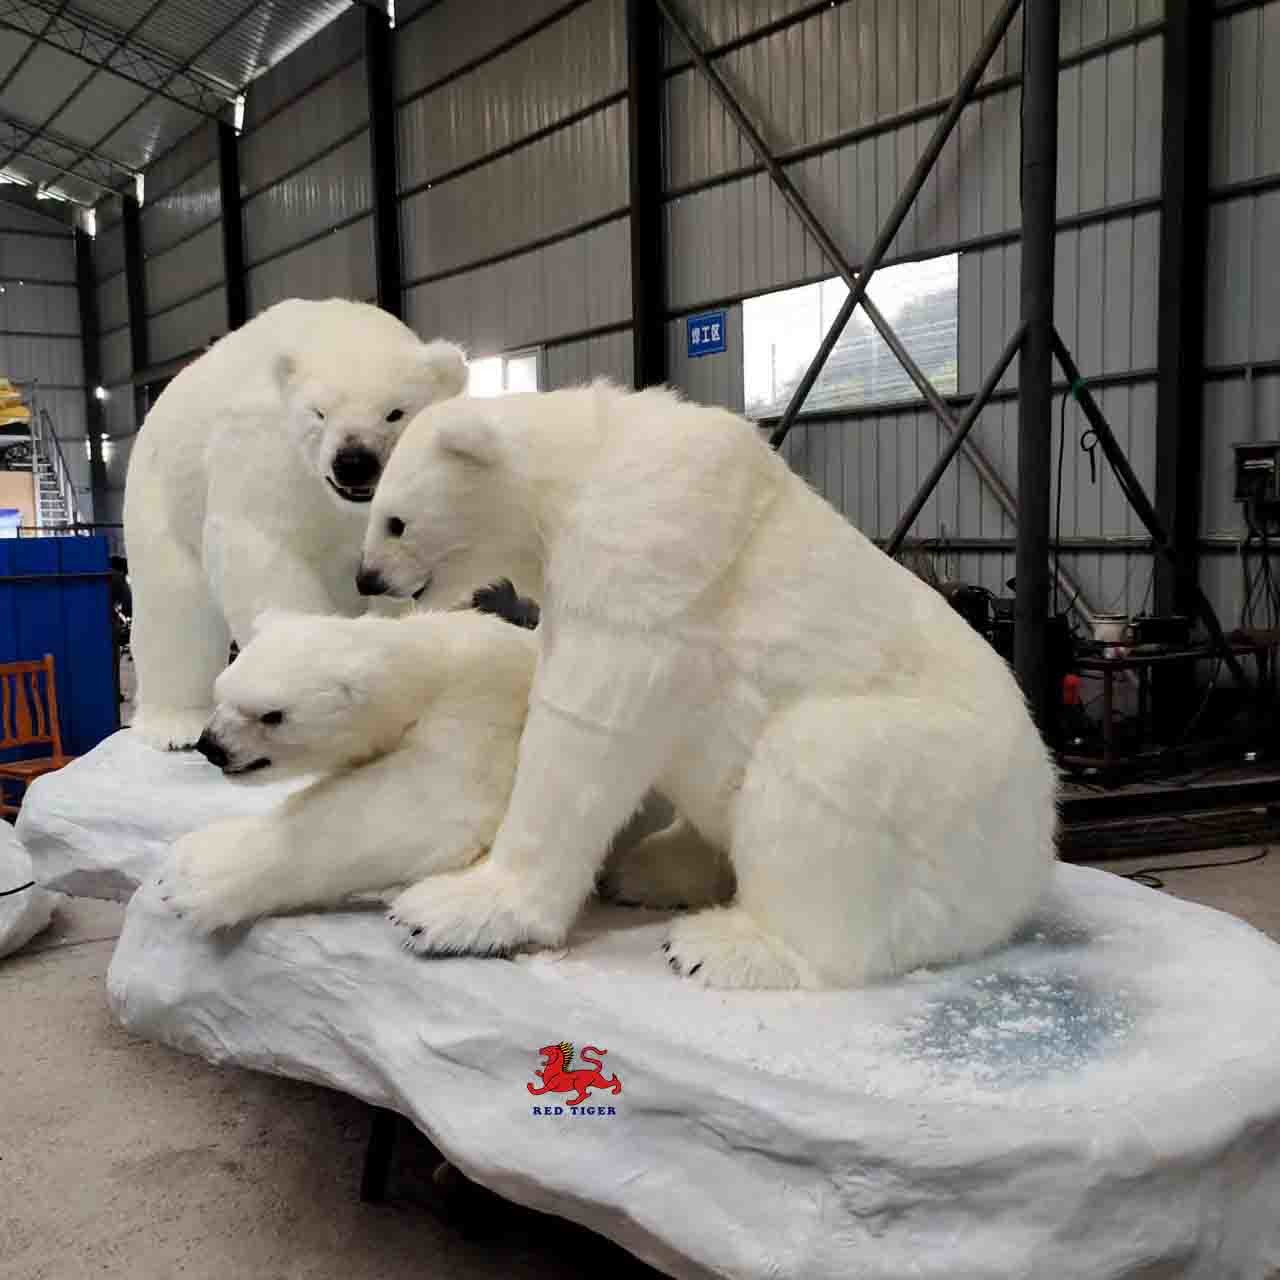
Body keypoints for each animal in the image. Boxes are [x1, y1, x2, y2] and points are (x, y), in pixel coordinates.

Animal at [124, 297, 468, 752]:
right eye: (319, 413)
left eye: (395, 412)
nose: (353, 462)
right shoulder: (267, 456)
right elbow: (264, 554)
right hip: (162, 498)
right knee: (175, 603)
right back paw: (174, 724)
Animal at [157, 606, 537, 934]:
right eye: (221, 693)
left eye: (272, 716)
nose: (211, 746)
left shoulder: (479, 715)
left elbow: (423, 809)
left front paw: (192, 872)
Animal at [354, 381, 1058, 990]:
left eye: (394, 521)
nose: (366, 577)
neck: (585, 464)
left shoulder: (645, 550)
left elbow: (585, 730)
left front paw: (448, 907)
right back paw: (651, 871)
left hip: (954, 788)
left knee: (823, 760)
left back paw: (722, 946)